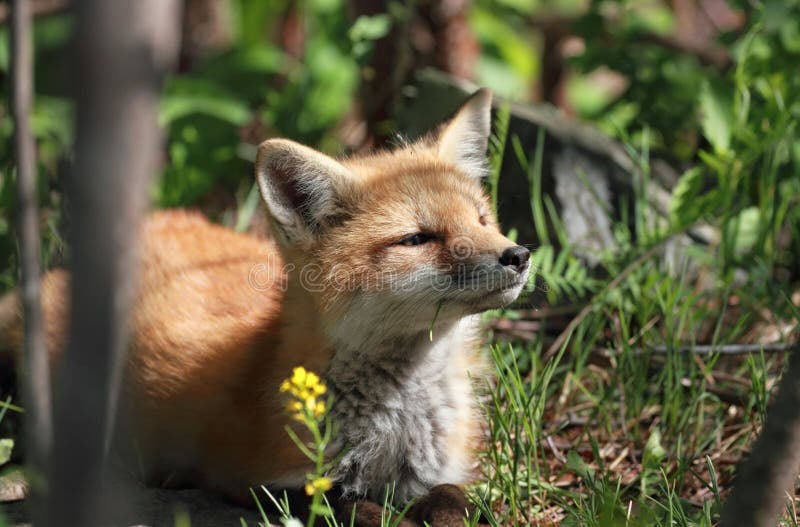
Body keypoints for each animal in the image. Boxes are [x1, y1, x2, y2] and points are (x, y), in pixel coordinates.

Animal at [0, 89, 530, 525]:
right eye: (417, 239)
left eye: (482, 220)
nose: (520, 255)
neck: (397, 427)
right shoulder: (259, 480)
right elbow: (351, 507)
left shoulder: (442, 473)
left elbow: (455, 501)